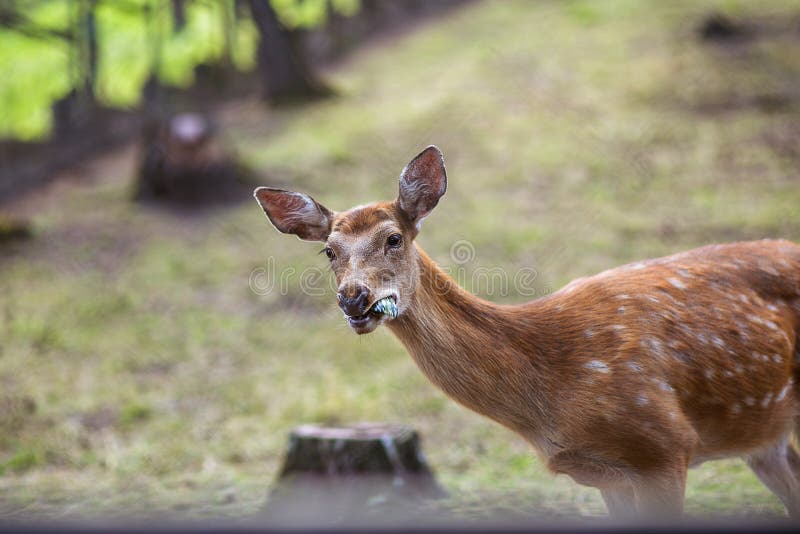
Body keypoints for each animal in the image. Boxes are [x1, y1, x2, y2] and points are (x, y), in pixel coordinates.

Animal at [254, 146, 800, 518]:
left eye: (393, 238)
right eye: (329, 251)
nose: (354, 298)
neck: (553, 393)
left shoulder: (665, 444)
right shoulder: (609, 475)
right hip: (764, 436)